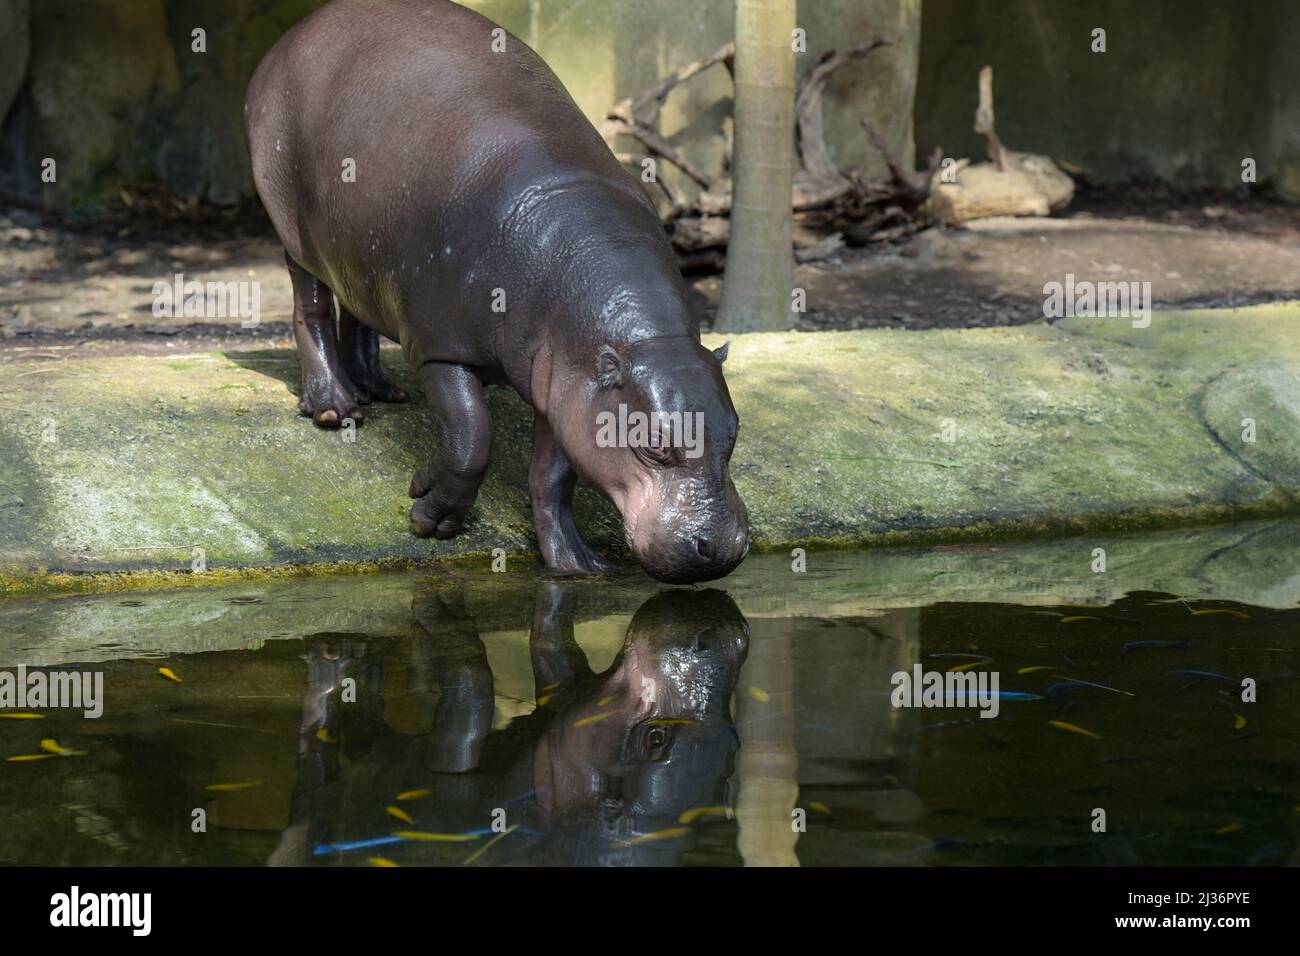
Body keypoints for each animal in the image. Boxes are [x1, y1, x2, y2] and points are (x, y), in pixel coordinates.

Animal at [245, 0, 749, 583]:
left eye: (733, 434)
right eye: (653, 445)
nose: (725, 546)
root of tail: (296, 32)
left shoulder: (567, 388)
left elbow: (552, 478)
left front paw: (576, 566)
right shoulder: (442, 350)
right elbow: (472, 440)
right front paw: (428, 515)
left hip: (357, 250)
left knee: (357, 308)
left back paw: (378, 389)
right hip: (292, 227)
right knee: (312, 306)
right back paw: (336, 408)